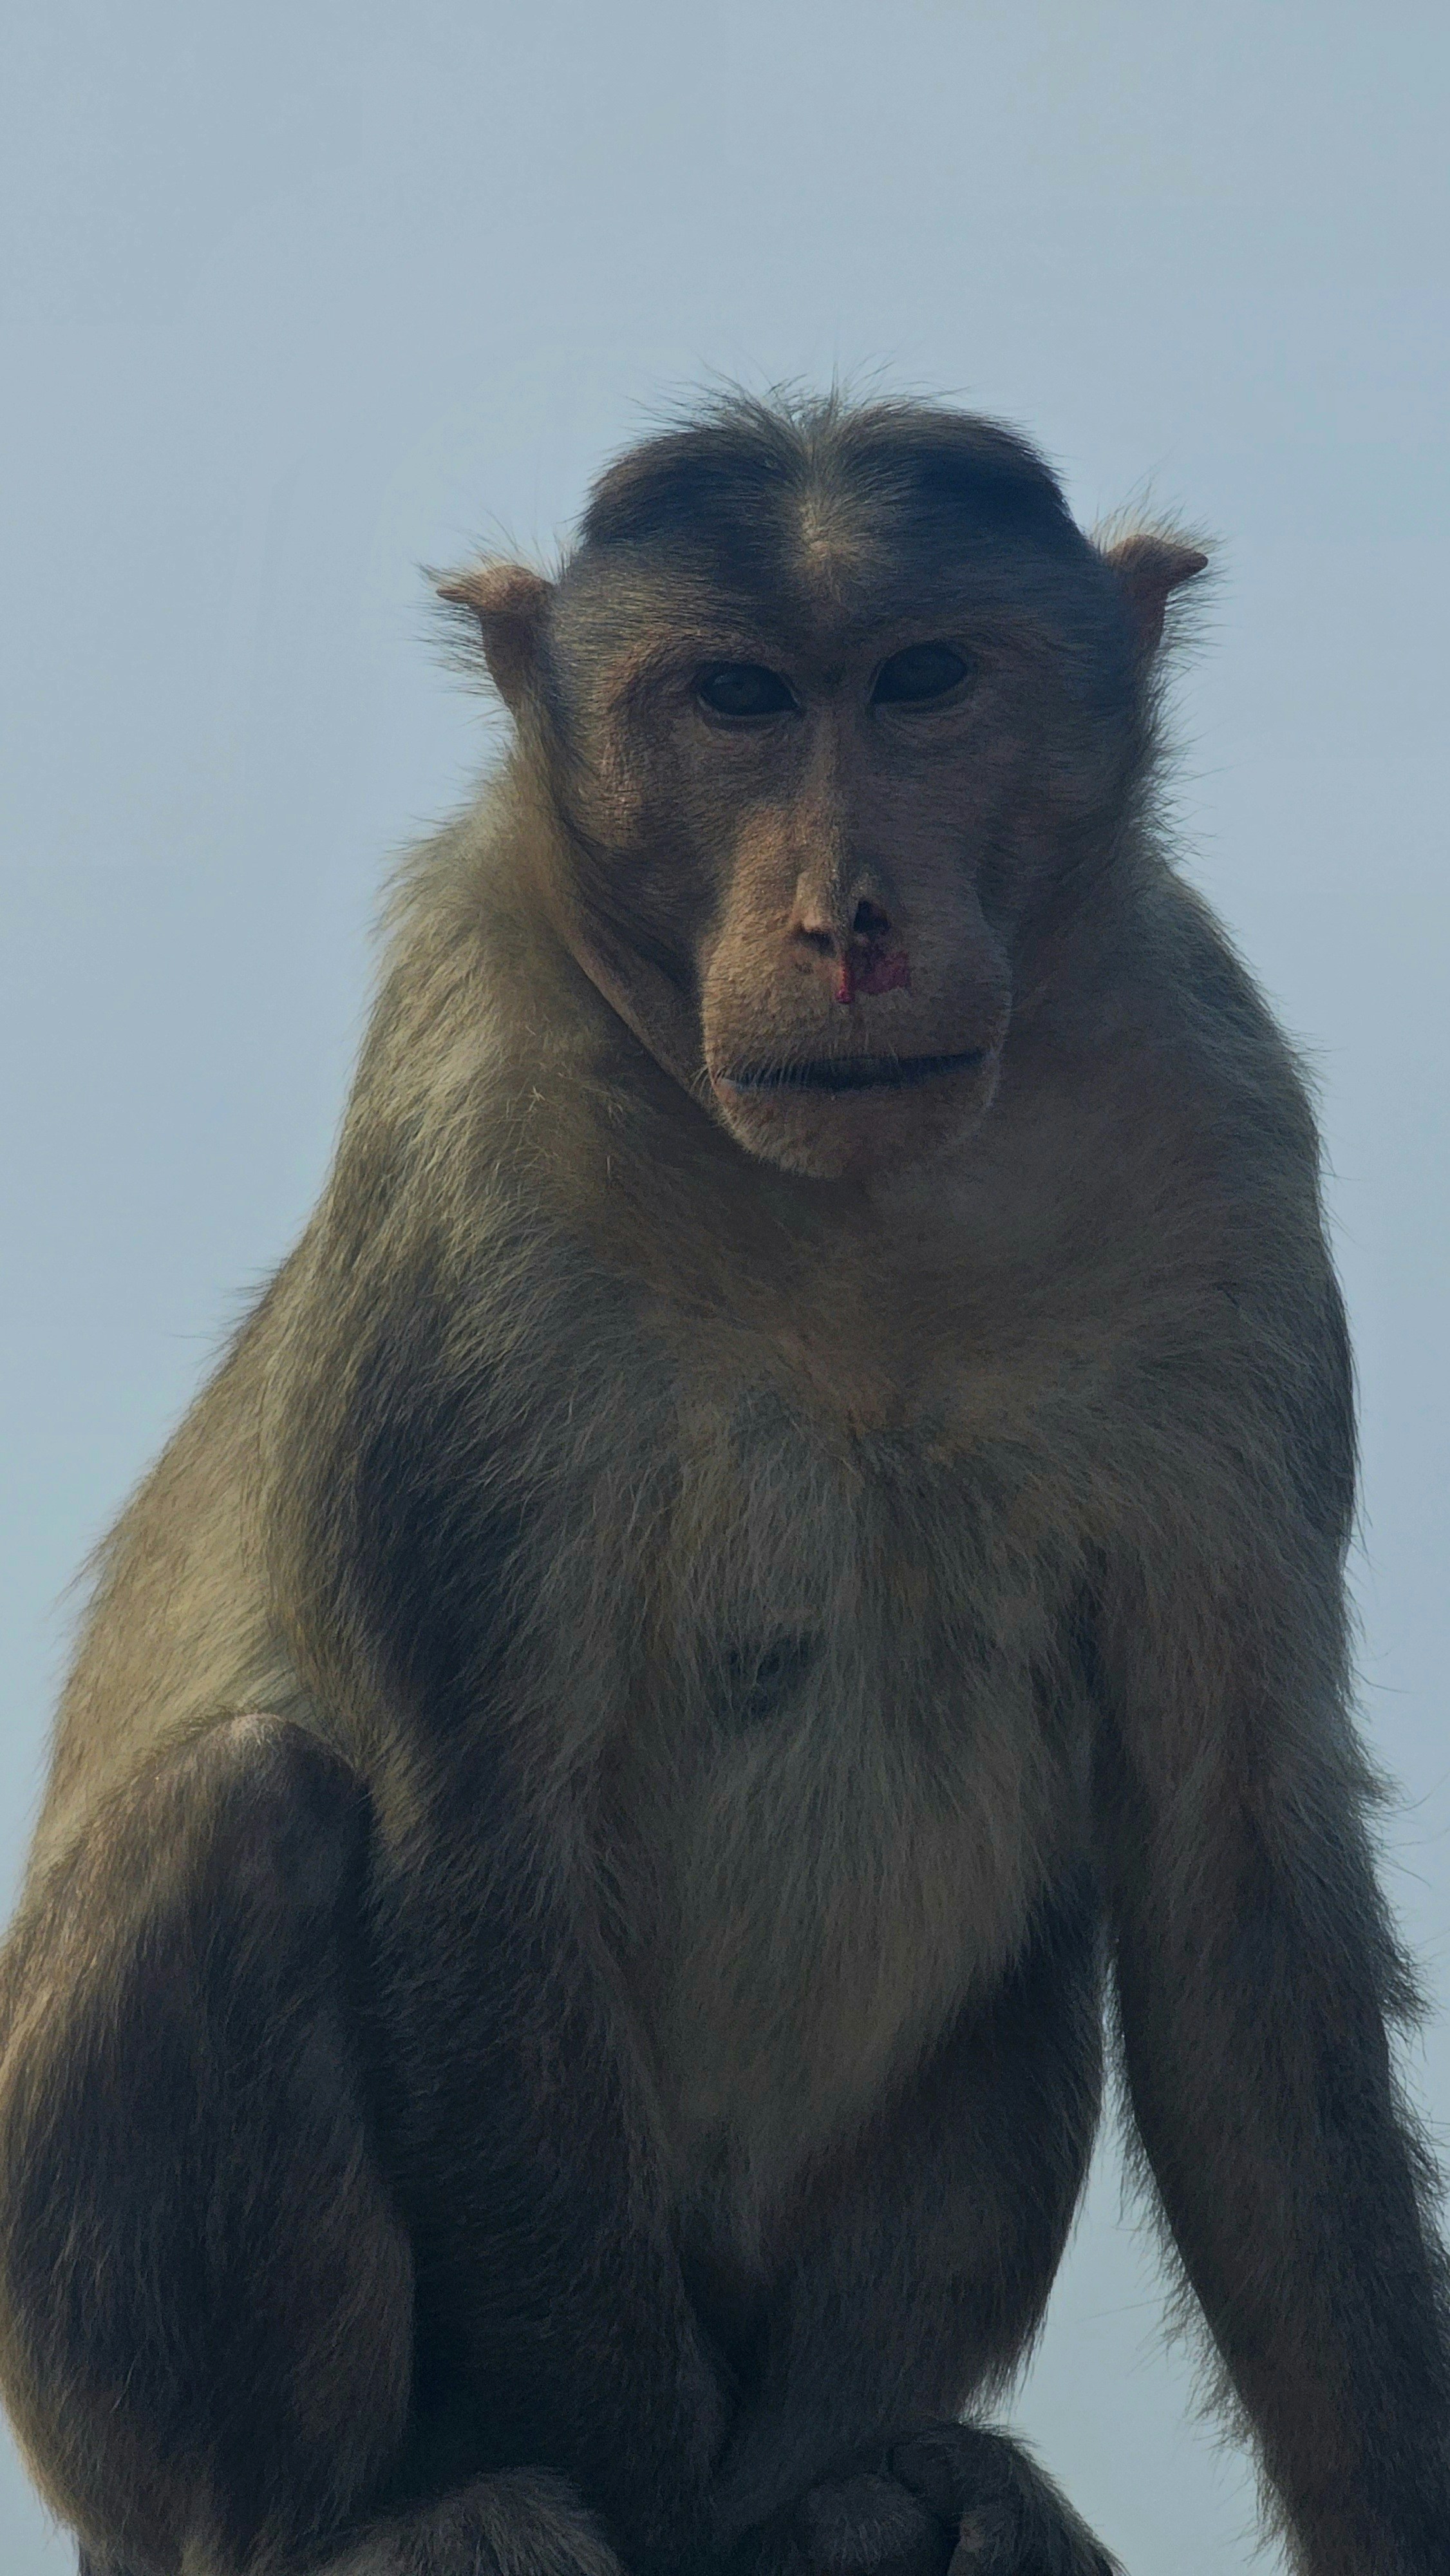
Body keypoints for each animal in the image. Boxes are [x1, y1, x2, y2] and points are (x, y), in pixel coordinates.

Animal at [0, 388, 1447, 2576]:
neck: (856, 1217)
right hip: (108, 2429)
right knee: (242, 1820)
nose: (841, 923)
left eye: (923, 681)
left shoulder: (1221, 1128)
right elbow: (486, 1845)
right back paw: (381, 2514)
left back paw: (845, 2475)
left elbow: (1229, 1881)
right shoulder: (471, 1149)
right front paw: (632, 2506)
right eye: (735, 700)